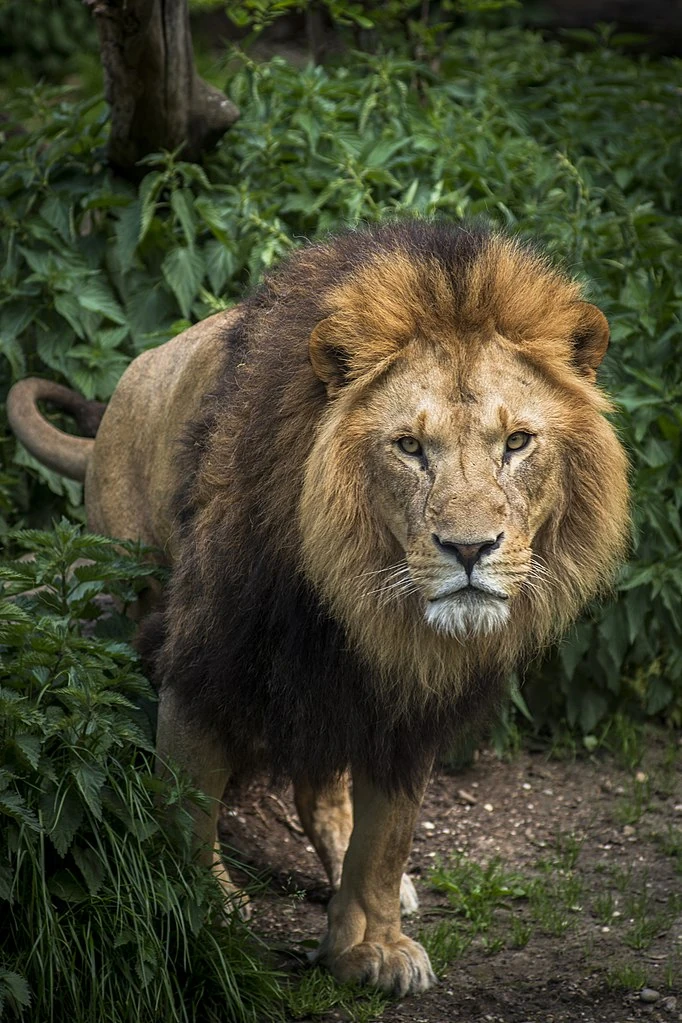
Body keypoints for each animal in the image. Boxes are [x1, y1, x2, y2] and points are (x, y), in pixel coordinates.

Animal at [7, 220, 630, 997]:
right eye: (409, 446)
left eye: (517, 442)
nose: (469, 549)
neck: (354, 592)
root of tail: (119, 399)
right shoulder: (204, 661)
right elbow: (186, 805)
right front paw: (206, 921)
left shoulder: (406, 701)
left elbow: (386, 837)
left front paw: (372, 944)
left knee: (323, 790)